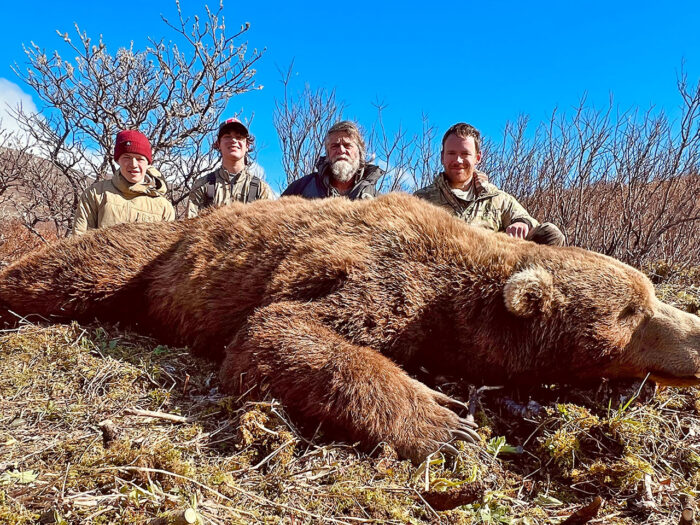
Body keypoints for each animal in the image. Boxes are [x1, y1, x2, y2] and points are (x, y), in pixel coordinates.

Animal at [0, 193, 698, 462]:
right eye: (631, 311)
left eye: (648, 293)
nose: (694, 332)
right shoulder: (392, 278)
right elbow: (276, 329)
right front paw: (444, 421)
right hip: (151, 254)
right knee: (69, 272)